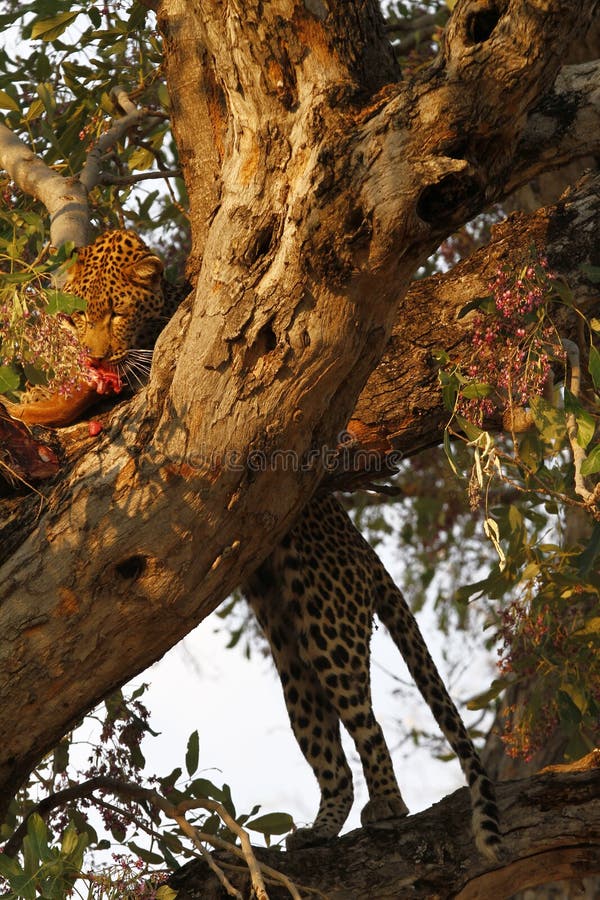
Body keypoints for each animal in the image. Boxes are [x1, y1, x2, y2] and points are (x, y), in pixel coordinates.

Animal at [17, 229, 501, 858]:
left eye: (117, 314)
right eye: (81, 318)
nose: (95, 357)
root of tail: (367, 555)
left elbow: (89, 403)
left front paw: (40, 407)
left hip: (330, 621)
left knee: (368, 725)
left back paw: (389, 809)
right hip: (294, 660)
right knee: (328, 748)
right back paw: (318, 829)